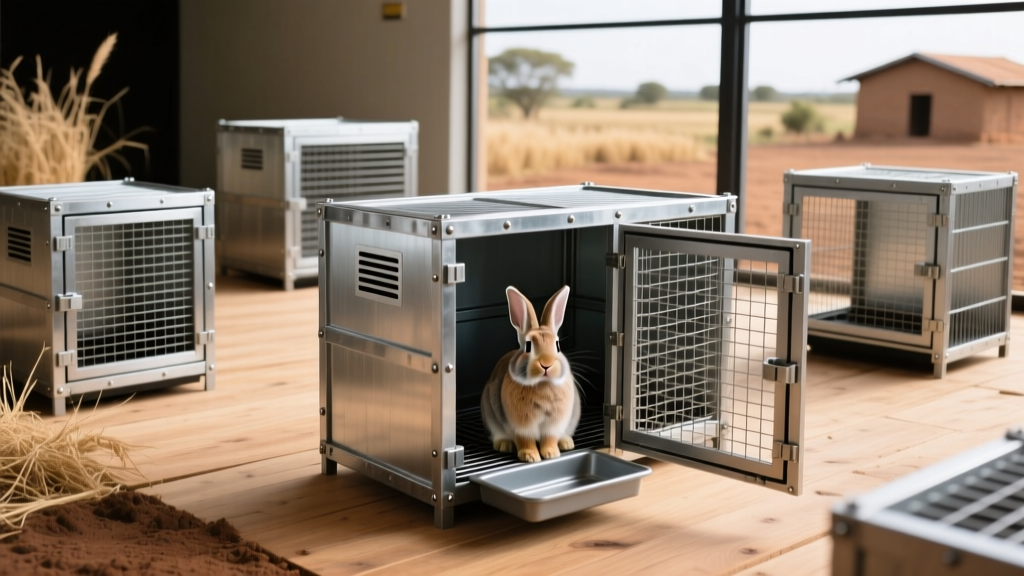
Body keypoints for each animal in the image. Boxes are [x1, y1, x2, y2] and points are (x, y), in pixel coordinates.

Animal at [480, 285, 581, 463]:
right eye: (528, 346)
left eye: (557, 345)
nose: (546, 364)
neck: (542, 384)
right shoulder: (521, 424)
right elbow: (525, 440)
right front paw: (530, 457)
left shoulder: (553, 423)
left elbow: (549, 438)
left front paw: (551, 454)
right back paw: (504, 445)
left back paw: (566, 443)